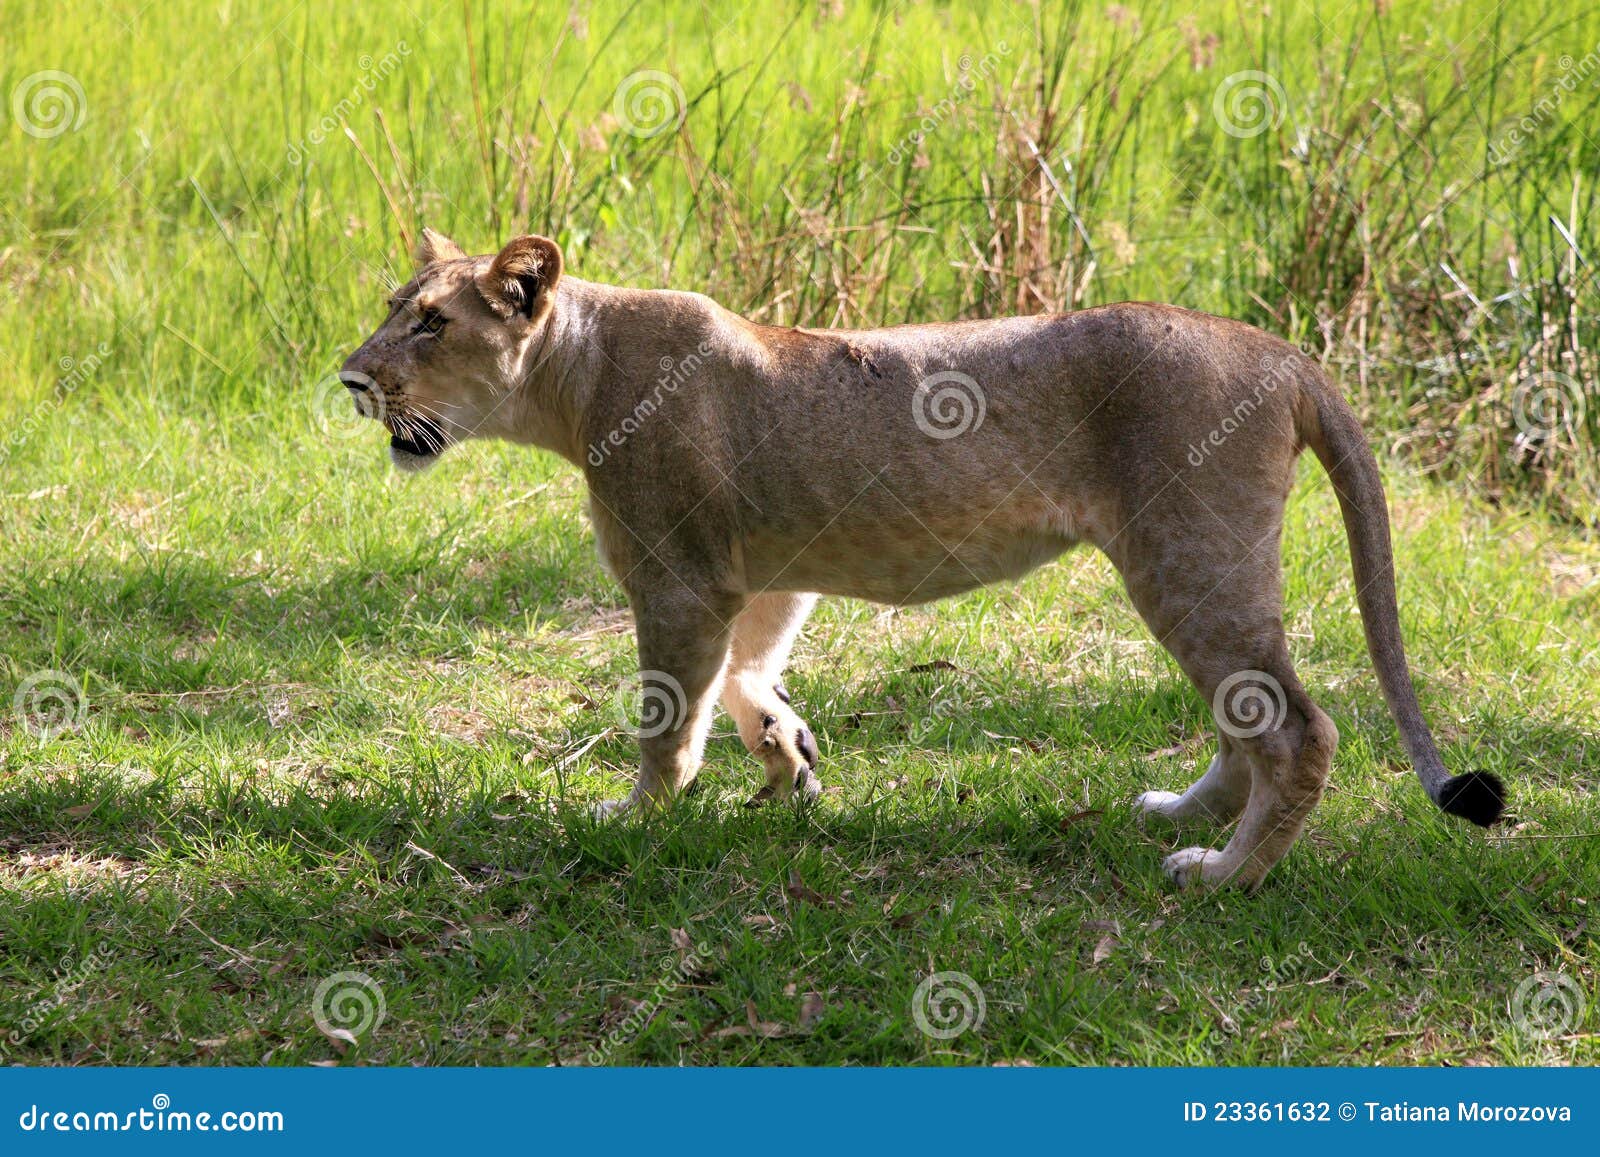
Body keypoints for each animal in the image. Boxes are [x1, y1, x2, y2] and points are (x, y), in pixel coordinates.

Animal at [337, 229, 1505, 889]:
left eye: (431, 324)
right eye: (392, 309)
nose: (349, 378)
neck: (573, 381)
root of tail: (1284, 351)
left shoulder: (677, 579)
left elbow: (671, 717)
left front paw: (634, 820)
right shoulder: (766, 568)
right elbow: (749, 670)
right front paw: (788, 755)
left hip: (1185, 553)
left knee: (1298, 727)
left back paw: (1223, 877)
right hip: (1197, 567)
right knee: (1250, 713)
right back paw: (1183, 816)